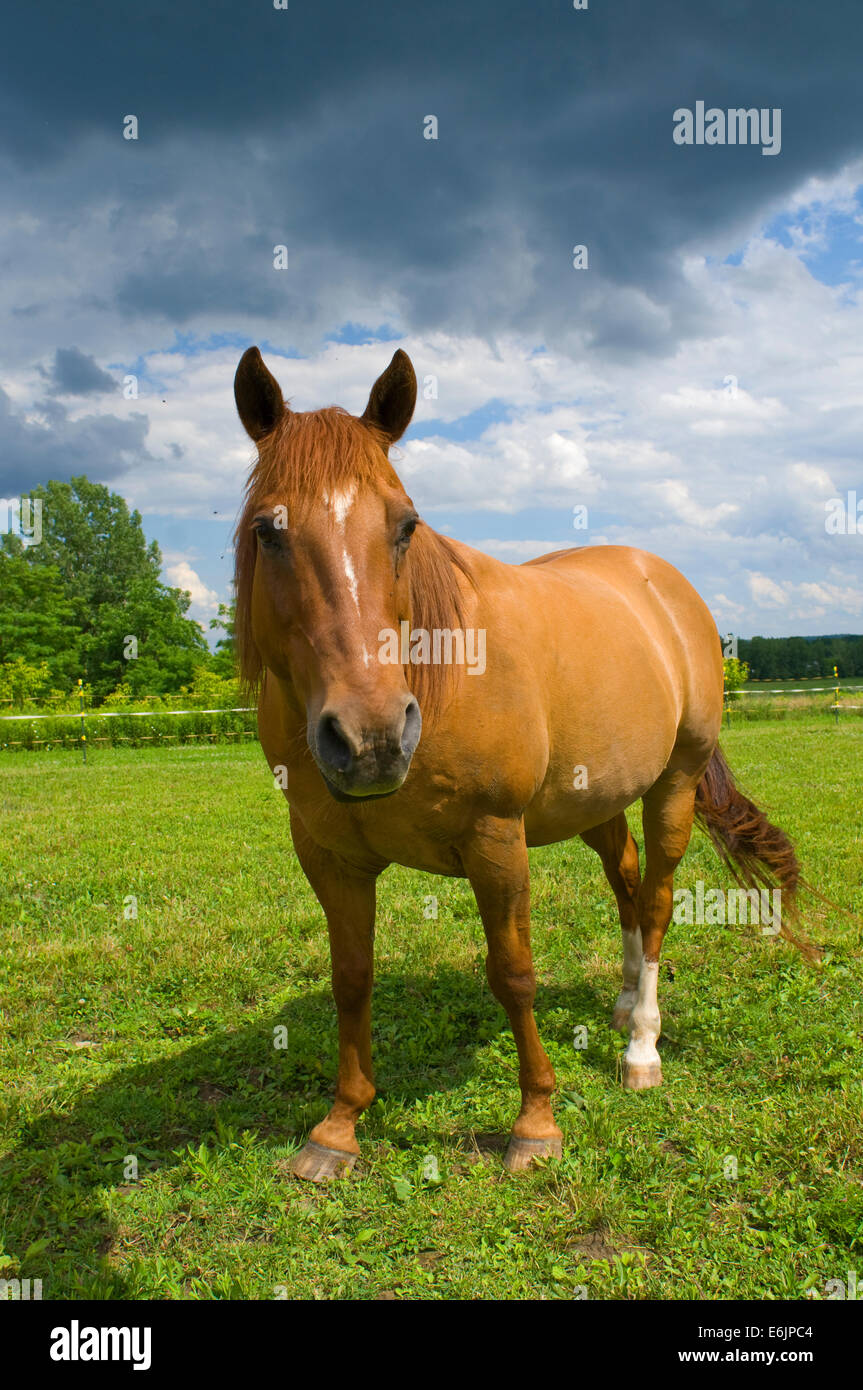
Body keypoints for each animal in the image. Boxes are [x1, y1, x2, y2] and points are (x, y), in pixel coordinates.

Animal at [232, 345, 802, 1181]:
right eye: (268, 531)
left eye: (405, 526)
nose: (371, 738)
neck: (434, 668)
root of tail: (664, 586)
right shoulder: (330, 856)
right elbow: (350, 979)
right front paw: (338, 1128)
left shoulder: (495, 842)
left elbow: (512, 974)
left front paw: (536, 1124)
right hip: (597, 800)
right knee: (626, 885)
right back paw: (622, 1005)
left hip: (673, 785)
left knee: (656, 901)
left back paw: (641, 1046)